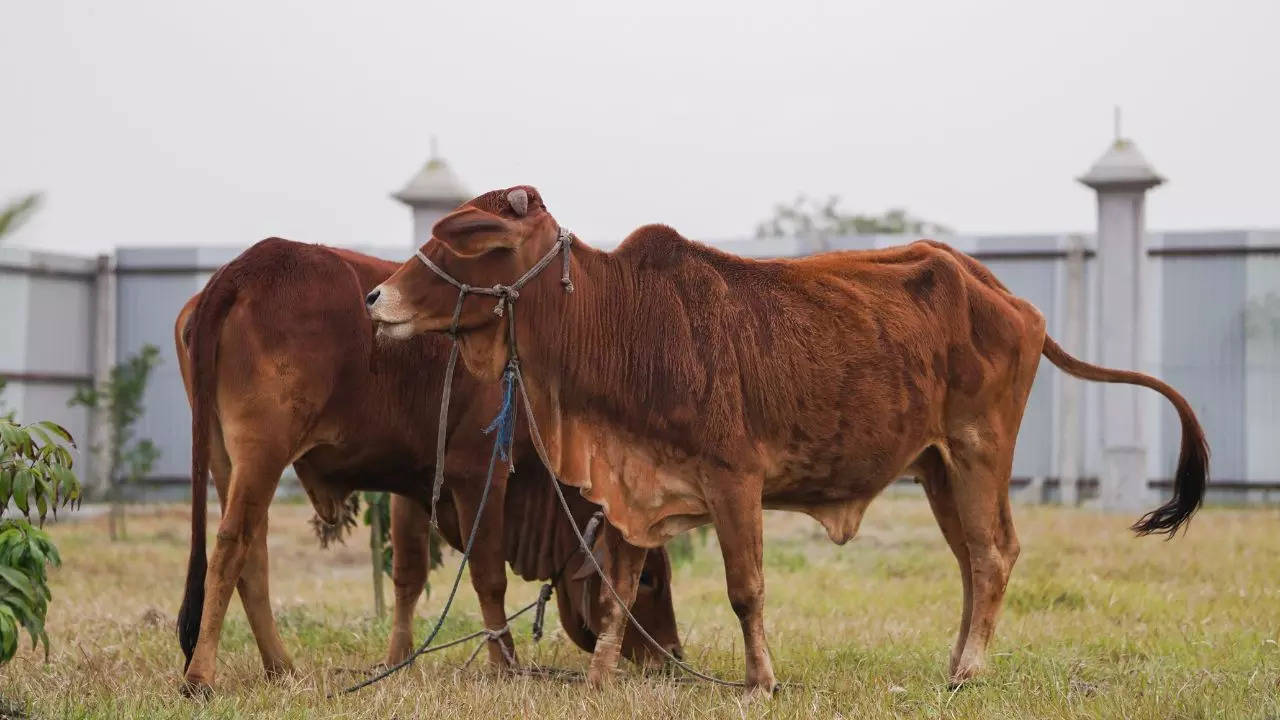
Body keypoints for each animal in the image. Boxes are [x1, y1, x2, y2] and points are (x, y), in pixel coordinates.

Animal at [175, 238, 683, 695]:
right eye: (650, 581)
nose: (672, 657)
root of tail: (240, 271)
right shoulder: (481, 474)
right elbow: (488, 576)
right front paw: (505, 663)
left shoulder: (417, 485)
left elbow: (409, 576)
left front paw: (398, 661)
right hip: (262, 451)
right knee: (231, 546)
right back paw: (200, 677)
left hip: (225, 456)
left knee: (253, 556)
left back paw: (280, 668)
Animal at [364, 185, 1209, 696]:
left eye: (466, 238)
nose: (375, 297)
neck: (623, 323)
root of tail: (1003, 294)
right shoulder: (634, 483)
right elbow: (616, 591)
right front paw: (601, 679)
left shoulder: (735, 480)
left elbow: (746, 589)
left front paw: (760, 680)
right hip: (937, 466)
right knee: (973, 560)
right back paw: (954, 663)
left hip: (977, 451)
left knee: (995, 553)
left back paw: (969, 670)